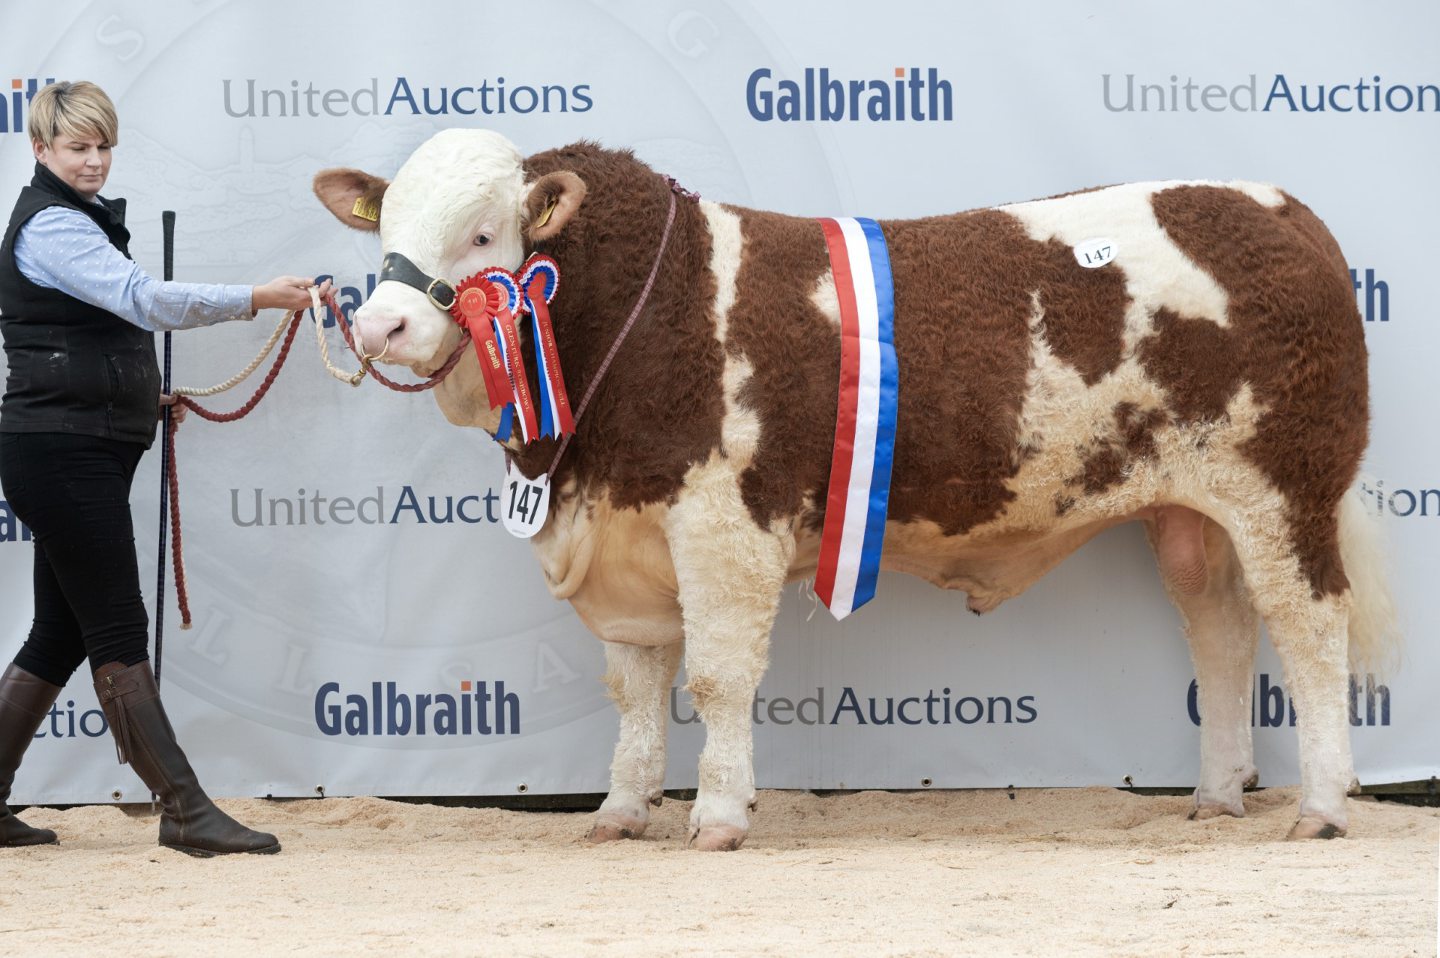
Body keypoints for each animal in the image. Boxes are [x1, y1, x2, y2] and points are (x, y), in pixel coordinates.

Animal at [313, 129, 1396, 850]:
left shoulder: (724, 524)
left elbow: (715, 677)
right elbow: (636, 683)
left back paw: (1321, 805)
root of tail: (1276, 206)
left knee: (1309, 629)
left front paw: (719, 815)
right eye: (389, 223)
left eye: (483, 233)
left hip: (1285, 488)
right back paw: (1216, 795)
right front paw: (622, 811)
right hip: (1189, 513)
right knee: (1222, 631)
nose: (381, 327)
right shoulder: (627, 530)